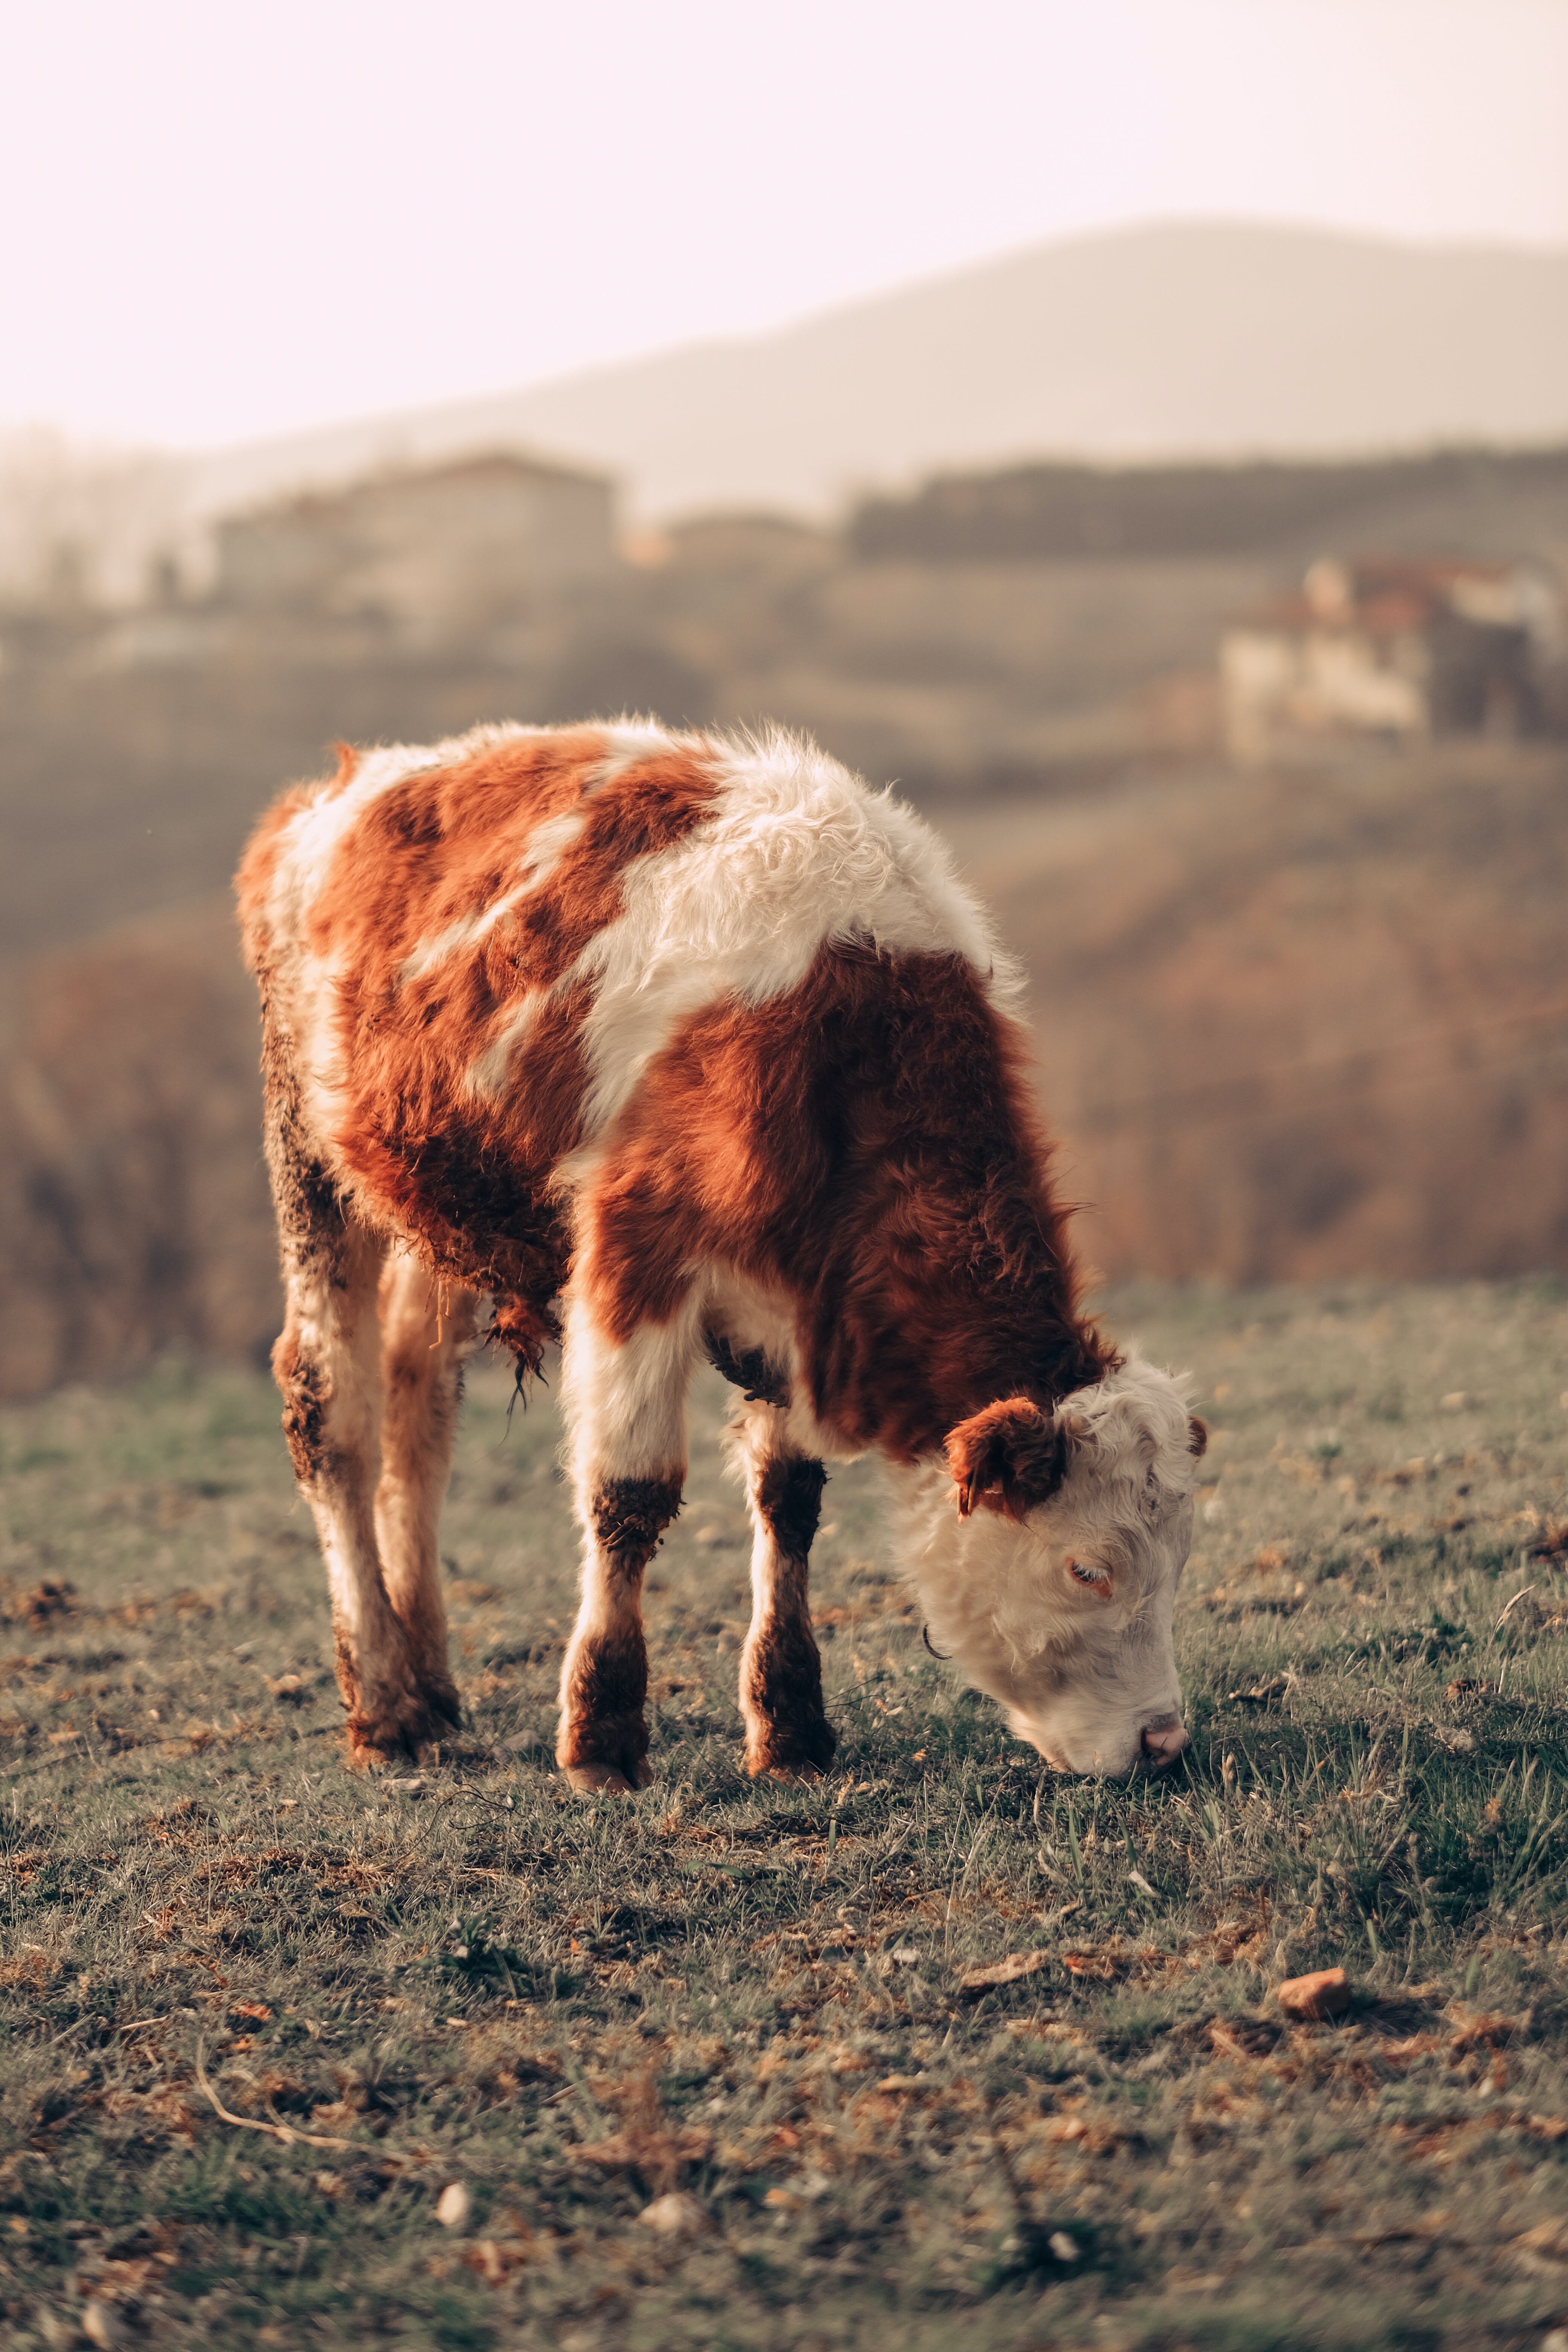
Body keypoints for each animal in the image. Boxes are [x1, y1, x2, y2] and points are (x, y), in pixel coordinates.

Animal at [236, 720, 1204, 1790]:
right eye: (1088, 1567)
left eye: (1180, 1558)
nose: (1164, 1741)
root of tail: (344, 784)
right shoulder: (634, 1245)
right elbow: (629, 1494)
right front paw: (603, 1737)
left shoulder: (797, 1295)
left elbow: (789, 1500)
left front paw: (789, 1726)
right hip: (308, 1152)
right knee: (330, 1408)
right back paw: (385, 1702)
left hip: (434, 1205)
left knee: (417, 1405)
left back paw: (432, 1683)